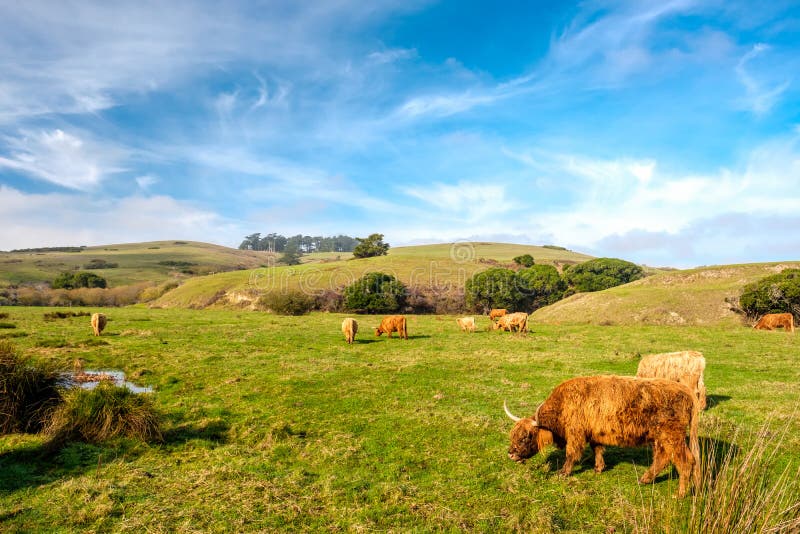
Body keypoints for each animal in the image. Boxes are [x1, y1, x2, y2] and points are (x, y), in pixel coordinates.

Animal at [504, 375, 700, 497]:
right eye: (513, 435)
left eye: (526, 437)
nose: (511, 454)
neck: (562, 405)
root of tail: (687, 392)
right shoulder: (594, 433)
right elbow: (597, 449)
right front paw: (599, 468)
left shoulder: (575, 433)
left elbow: (571, 453)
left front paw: (563, 472)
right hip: (661, 437)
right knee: (663, 457)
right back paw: (644, 479)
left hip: (672, 435)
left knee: (685, 461)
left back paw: (679, 494)